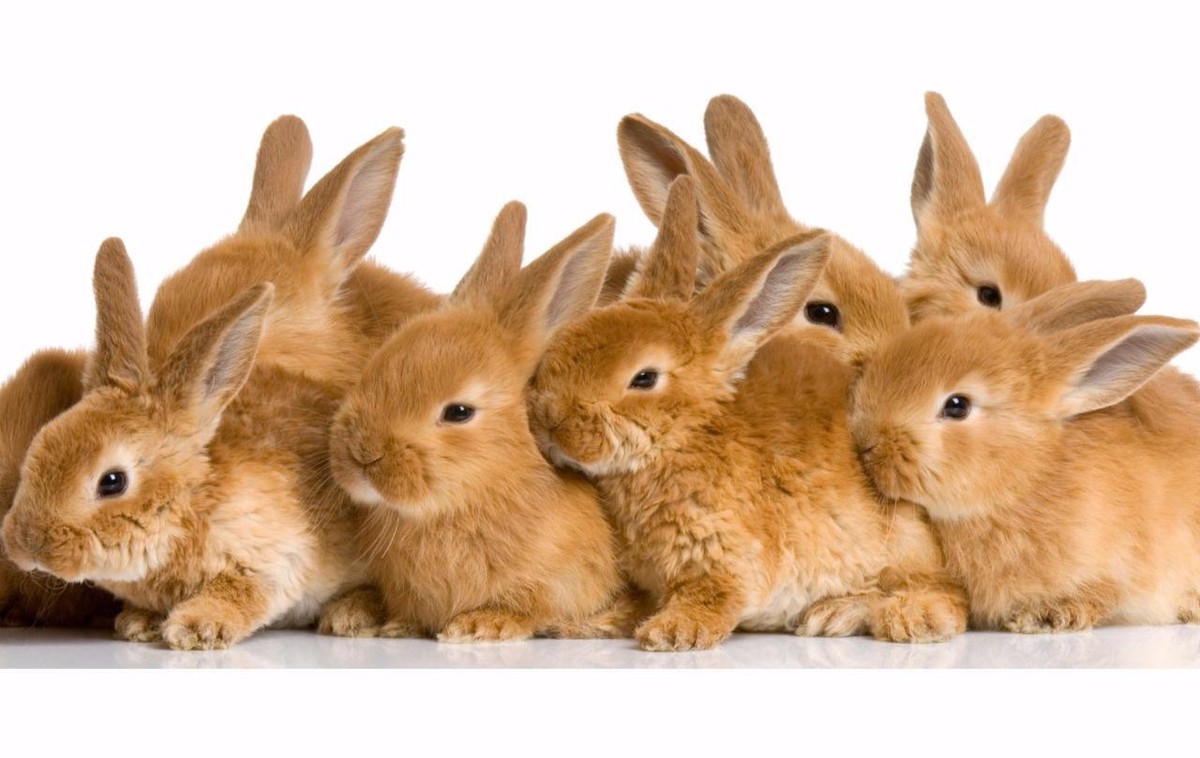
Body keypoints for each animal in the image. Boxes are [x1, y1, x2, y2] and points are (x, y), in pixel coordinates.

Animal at [319, 202, 630, 643]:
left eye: (459, 412)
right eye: (374, 365)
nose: (363, 453)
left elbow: (532, 608)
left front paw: (481, 624)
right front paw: (363, 618)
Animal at [527, 176, 967, 652]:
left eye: (644, 378)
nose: (550, 422)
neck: (684, 439)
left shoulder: (722, 556)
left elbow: (712, 596)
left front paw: (673, 632)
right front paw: (585, 624)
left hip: (902, 544)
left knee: (945, 595)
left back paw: (875, 616)